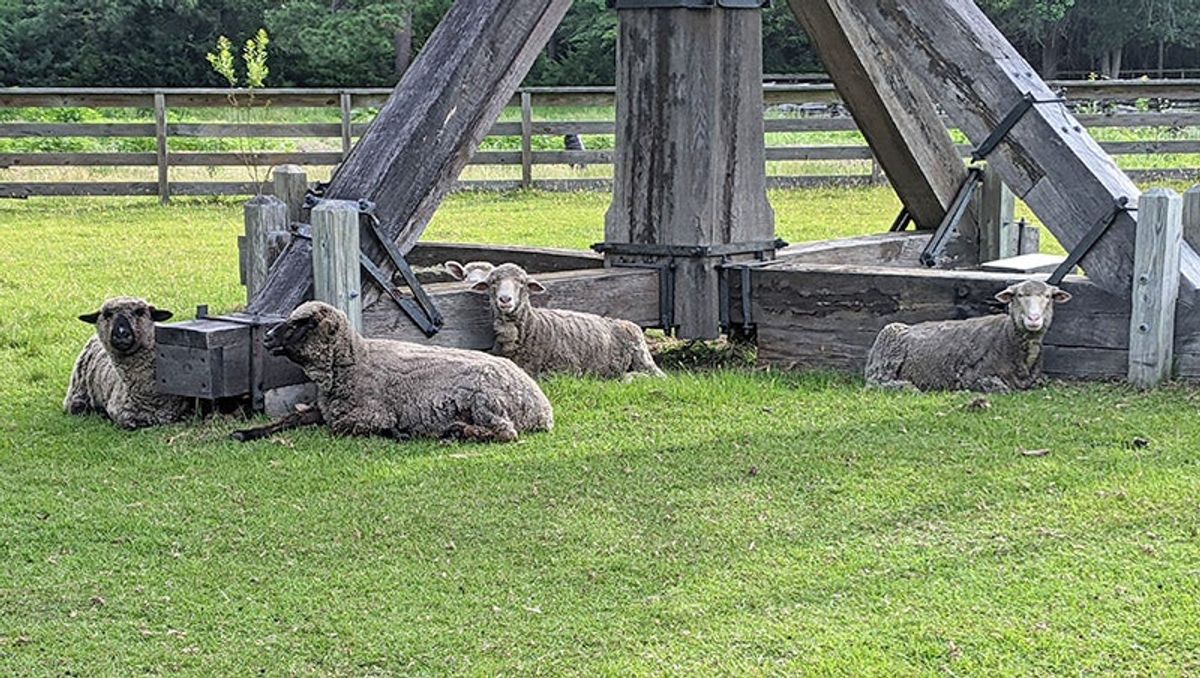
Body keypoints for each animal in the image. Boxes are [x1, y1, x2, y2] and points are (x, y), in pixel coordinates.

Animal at [64, 297, 192, 429]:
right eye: (107, 314)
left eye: (140, 312)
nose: (121, 334)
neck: (149, 397)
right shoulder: (123, 415)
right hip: (77, 391)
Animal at [231, 301, 553, 443]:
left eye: (303, 324)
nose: (267, 338)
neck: (356, 362)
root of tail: (541, 408)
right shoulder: (324, 410)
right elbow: (289, 419)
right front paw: (244, 433)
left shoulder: (368, 415)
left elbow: (353, 427)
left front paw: (401, 432)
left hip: (486, 401)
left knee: (506, 433)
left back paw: (457, 431)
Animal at [470, 263, 665, 379]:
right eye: (493, 282)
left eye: (522, 283)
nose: (505, 299)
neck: (532, 327)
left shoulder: (567, 369)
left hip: (643, 357)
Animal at [864, 279, 1072, 393]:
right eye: (1019, 296)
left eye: (1048, 297)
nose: (1034, 319)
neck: (1007, 337)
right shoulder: (973, 377)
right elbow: (1001, 388)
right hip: (888, 353)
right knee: (876, 383)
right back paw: (907, 386)